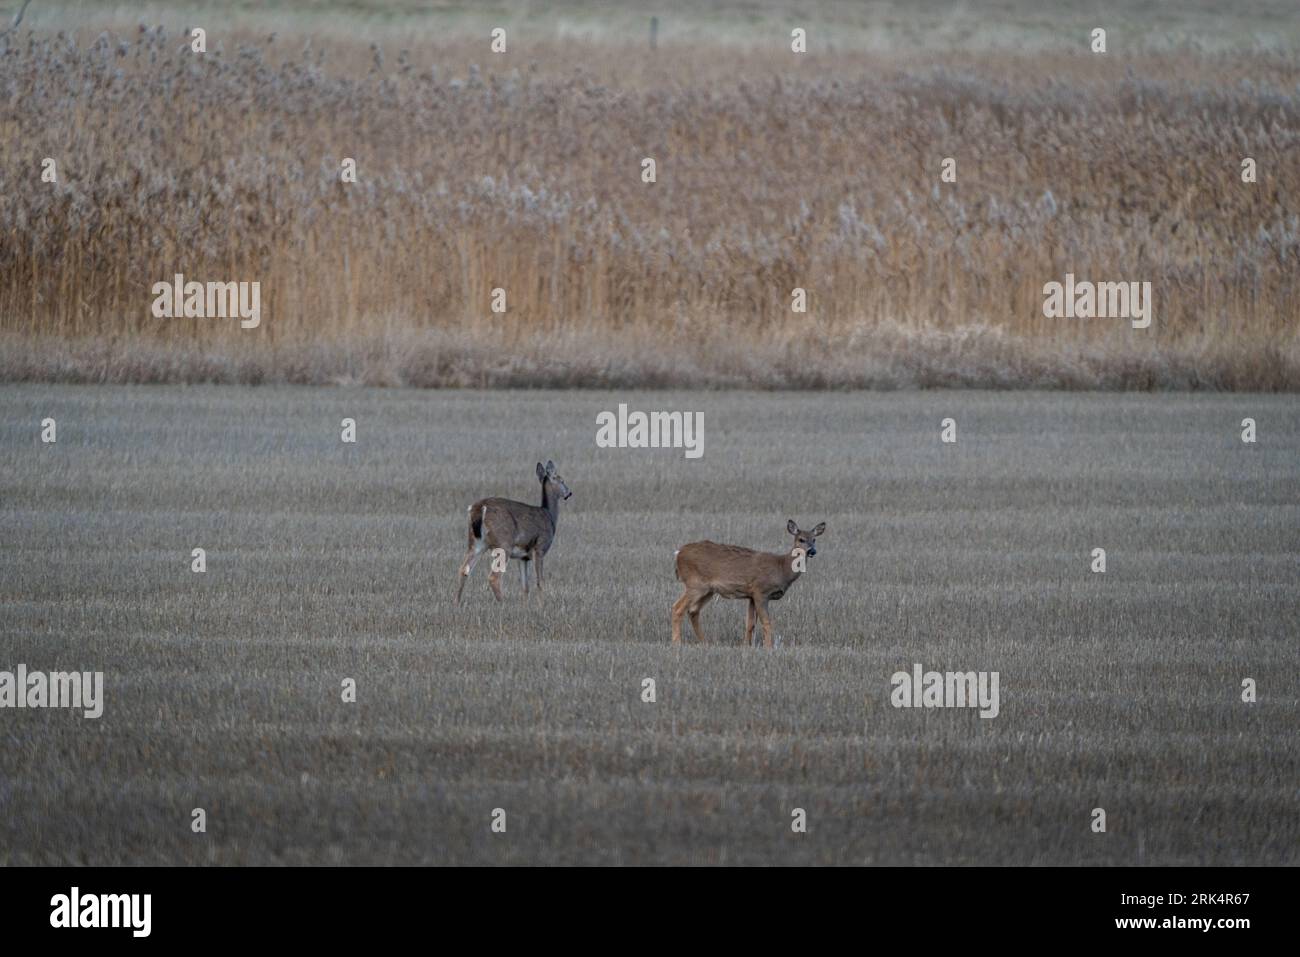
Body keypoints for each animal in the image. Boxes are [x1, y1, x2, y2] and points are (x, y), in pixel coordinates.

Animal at [455, 460, 572, 604]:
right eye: (561, 480)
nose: (569, 493)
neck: (549, 515)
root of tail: (479, 508)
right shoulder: (539, 548)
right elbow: (540, 582)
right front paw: (542, 606)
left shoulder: (523, 557)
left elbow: (525, 587)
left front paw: (525, 606)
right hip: (504, 544)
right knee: (494, 577)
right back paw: (503, 604)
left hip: (476, 542)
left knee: (463, 570)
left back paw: (456, 603)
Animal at [672, 520, 826, 647]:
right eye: (801, 539)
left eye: (814, 539)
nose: (812, 551)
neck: (781, 568)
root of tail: (678, 553)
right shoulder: (761, 591)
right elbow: (766, 622)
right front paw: (768, 647)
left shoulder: (751, 595)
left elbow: (750, 624)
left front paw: (746, 645)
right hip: (696, 584)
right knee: (677, 608)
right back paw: (677, 643)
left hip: (708, 590)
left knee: (693, 610)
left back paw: (705, 642)